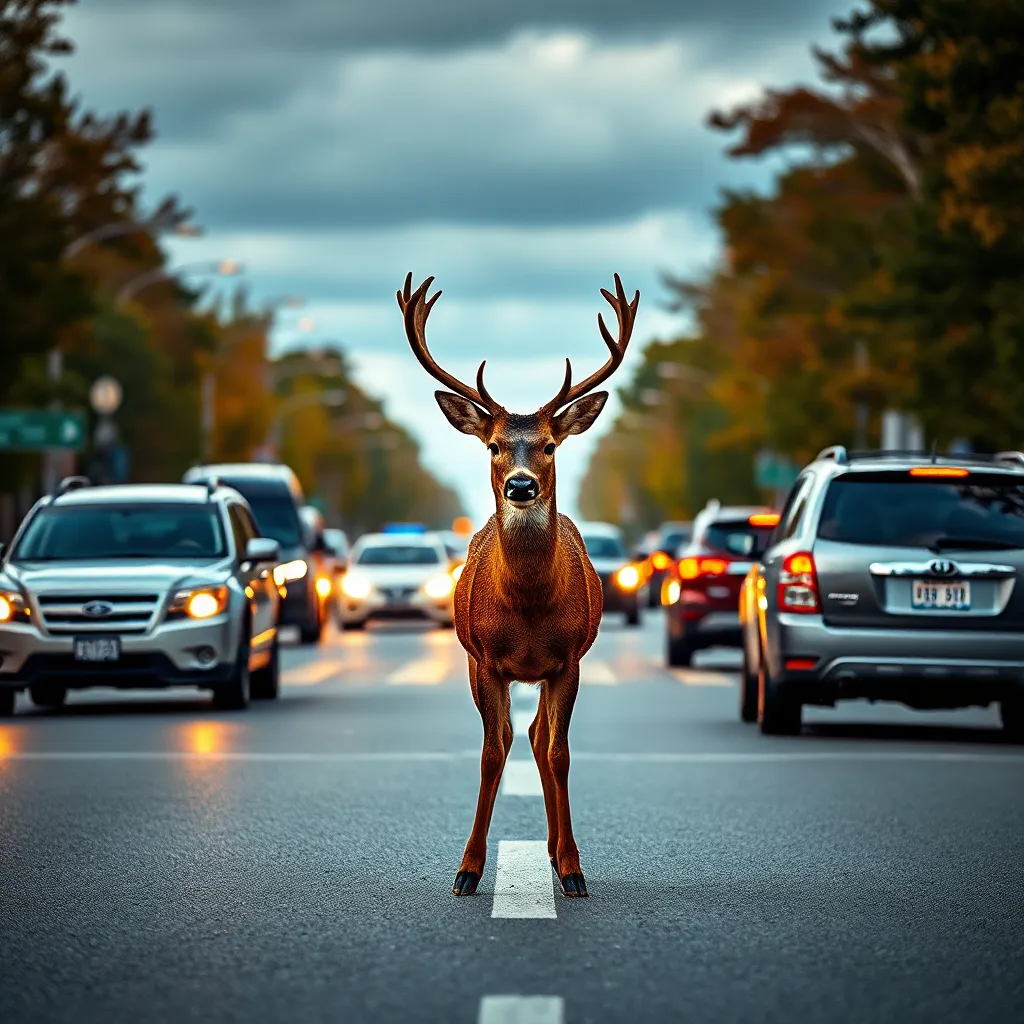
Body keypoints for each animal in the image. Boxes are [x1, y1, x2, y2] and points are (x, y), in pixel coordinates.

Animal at [397, 272, 639, 899]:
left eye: (550, 445)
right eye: (494, 444)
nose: (521, 485)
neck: (528, 607)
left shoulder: (568, 659)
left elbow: (560, 754)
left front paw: (574, 868)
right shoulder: (486, 658)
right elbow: (490, 752)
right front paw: (467, 869)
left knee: (537, 737)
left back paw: (555, 854)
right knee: (517, 735)